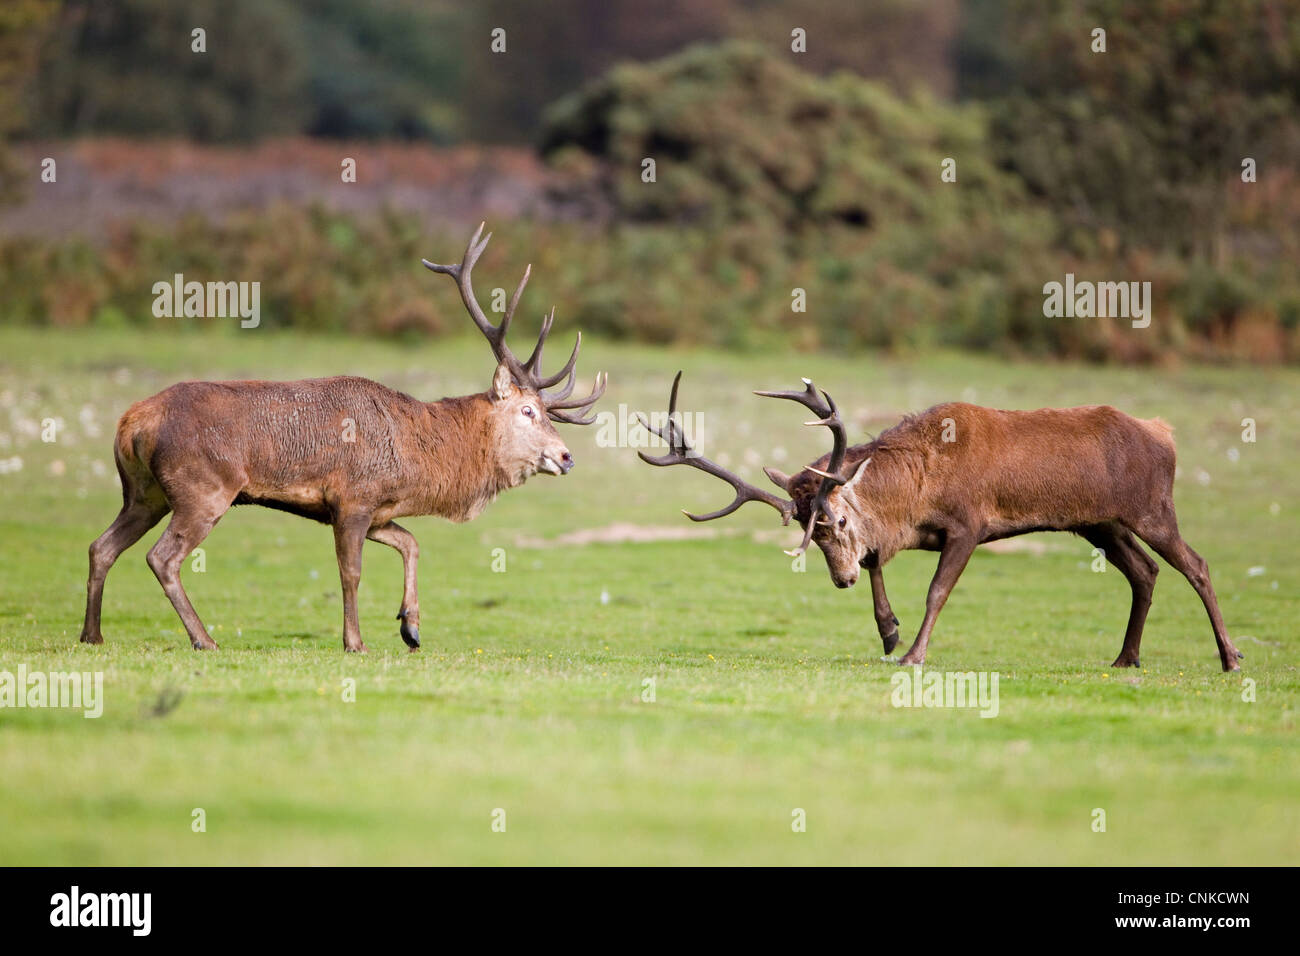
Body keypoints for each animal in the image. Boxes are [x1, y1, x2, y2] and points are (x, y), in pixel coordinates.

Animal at [78, 224, 606, 653]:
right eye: (527, 411)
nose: (566, 456)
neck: (417, 460)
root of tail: (132, 421)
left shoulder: (376, 508)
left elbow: (412, 543)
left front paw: (411, 628)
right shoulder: (352, 496)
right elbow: (351, 572)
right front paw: (356, 642)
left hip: (144, 492)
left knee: (101, 545)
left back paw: (92, 634)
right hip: (201, 488)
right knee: (162, 557)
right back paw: (203, 639)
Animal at [637, 372, 1244, 672]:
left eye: (836, 519)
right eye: (811, 529)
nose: (840, 579)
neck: (919, 490)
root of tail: (1164, 433)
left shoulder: (969, 524)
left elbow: (936, 591)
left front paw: (912, 654)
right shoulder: (914, 534)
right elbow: (879, 560)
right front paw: (888, 631)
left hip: (1151, 507)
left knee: (1197, 564)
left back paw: (1230, 658)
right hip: (1102, 523)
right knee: (1144, 572)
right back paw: (1126, 657)